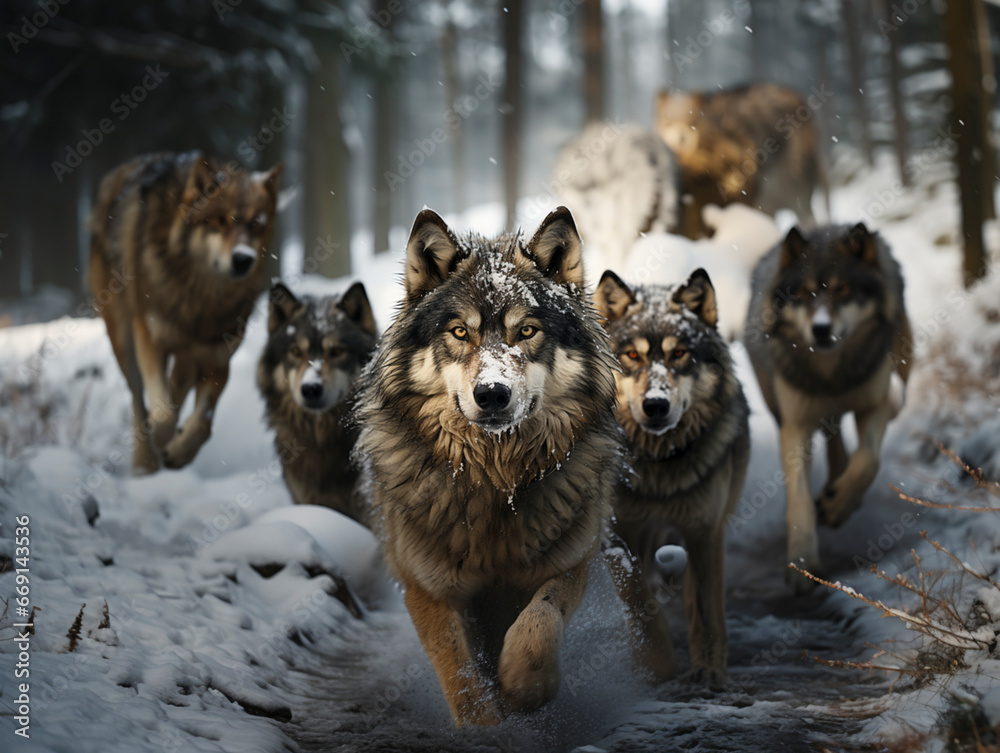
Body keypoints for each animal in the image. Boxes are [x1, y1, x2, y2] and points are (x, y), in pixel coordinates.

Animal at [89, 152, 281, 473]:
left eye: (256, 224)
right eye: (219, 221)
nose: (243, 259)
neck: (199, 298)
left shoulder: (217, 358)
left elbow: (202, 424)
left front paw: (179, 453)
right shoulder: (150, 339)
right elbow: (162, 414)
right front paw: (163, 441)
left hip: (188, 358)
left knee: (177, 386)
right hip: (124, 342)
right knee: (139, 402)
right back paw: (145, 463)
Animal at [353, 207, 622, 726]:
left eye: (527, 331)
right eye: (461, 332)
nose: (493, 394)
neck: (495, 479)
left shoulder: (568, 563)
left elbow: (538, 621)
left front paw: (526, 685)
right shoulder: (430, 590)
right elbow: (462, 678)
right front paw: (488, 729)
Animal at [594, 269, 750, 688]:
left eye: (678, 354)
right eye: (632, 356)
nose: (656, 405)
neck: (657, 467)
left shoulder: (705, 530)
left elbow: (708, 610)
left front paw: (709, 671)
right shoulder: (619, 534)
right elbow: (636, 597)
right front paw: (656, 663)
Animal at [744, 224, 912, 594]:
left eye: (843, 290)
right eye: (803, 293)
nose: (821, 329)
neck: (831, 376)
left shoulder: (873, 405)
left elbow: (868, 460)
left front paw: (838, 506)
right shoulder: (795, 426)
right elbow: (800, 501)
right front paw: (802, 565)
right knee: (832, 436)